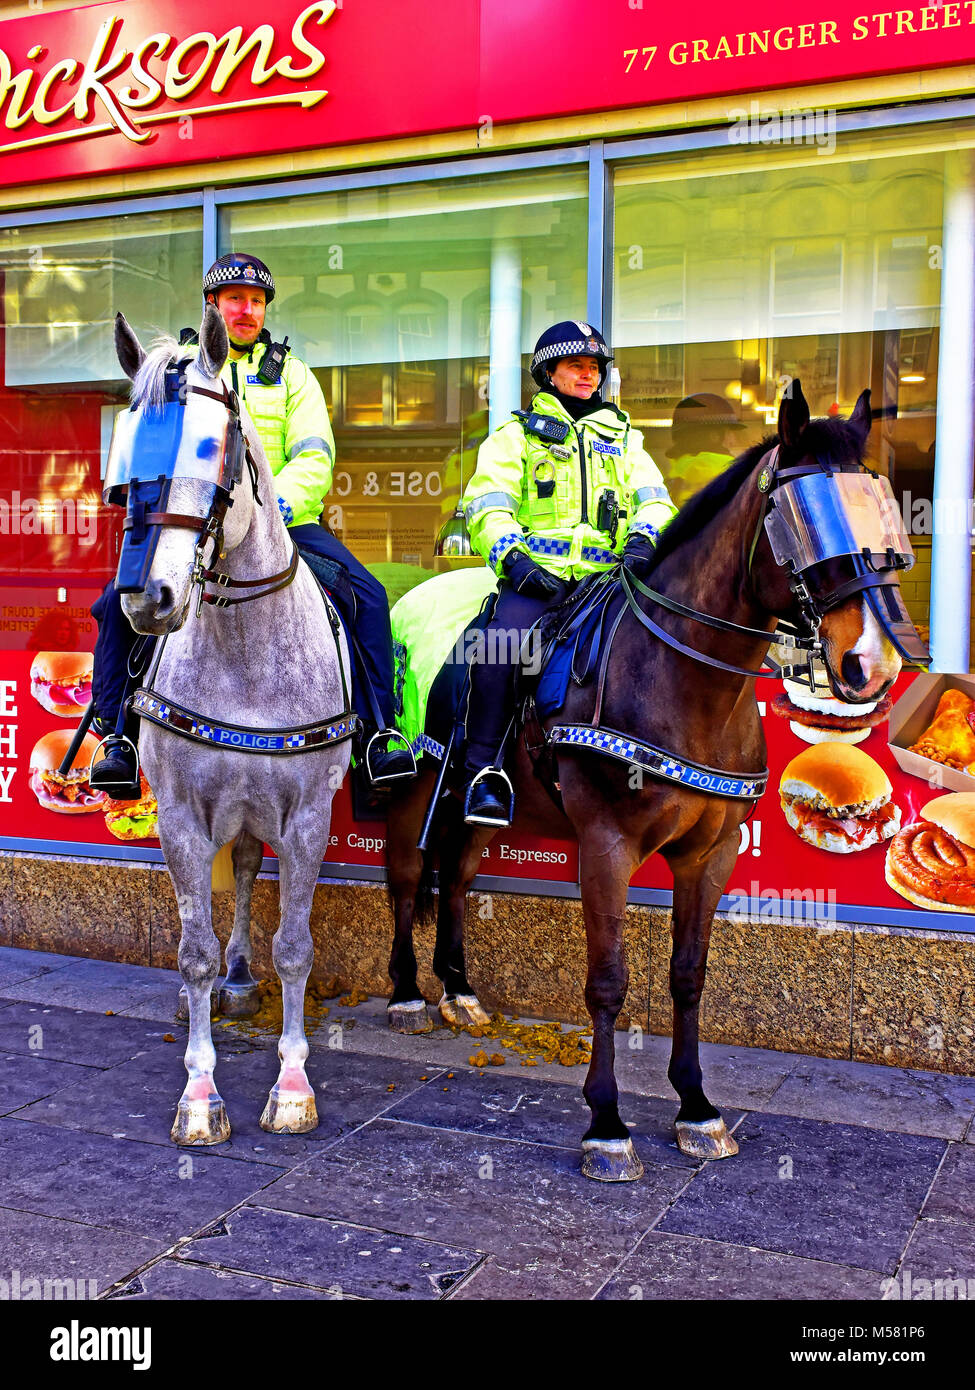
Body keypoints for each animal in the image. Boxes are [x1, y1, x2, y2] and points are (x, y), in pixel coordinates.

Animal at [112, 305, 353, 1146]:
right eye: (128, 449)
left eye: (212, 444)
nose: (148, 597)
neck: (245, 650)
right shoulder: (180, 816)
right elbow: (192, 951)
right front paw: (199, 1094)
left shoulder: (308, 816)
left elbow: (296, 948)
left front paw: (292, 1086)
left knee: (250, 875)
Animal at [385, 383, 922, 1181]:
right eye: (802, 521)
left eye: (880, 509)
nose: (873, 664)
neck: (680, 678)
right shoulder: (606, 847)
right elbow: (608, 981)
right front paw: (606, 1124)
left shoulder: (710, 853)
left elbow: (689, 974)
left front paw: (695, 1108)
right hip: (412, 781)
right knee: (404, 873)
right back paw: (404, 994)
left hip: (483, 808)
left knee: (455, 877)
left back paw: (458, 990)